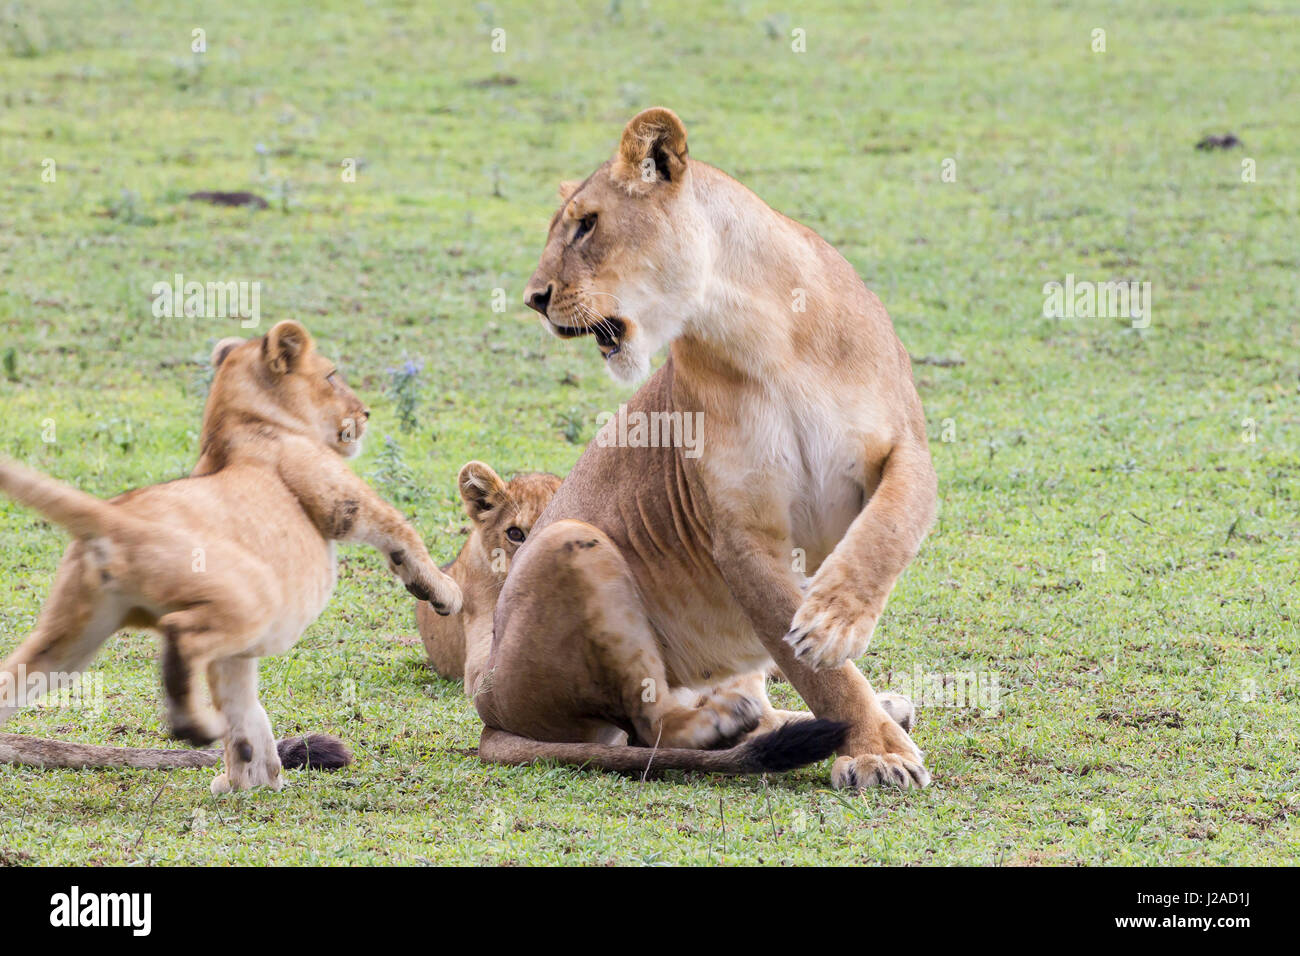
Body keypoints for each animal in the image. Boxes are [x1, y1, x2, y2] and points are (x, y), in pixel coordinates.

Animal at [0, 320, 463, 793]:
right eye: (332, 375)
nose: (366, 413)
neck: (238, 419)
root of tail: (117, 518)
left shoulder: (235, 655)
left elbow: (244, 706)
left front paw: (250, 778)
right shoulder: (337, 497)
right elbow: (400, 531)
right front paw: (444, 593)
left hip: (70, 638)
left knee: (16, 679)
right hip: (250, 596)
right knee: (182, 635)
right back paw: (193, 725)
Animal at [474, 107, 936, 787]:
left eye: (587, 224)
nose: (534, 298)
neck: (760, 330)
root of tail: (487, 712)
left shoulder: (906, 449)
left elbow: (887, 530)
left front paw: (833, 624)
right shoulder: (739, 531)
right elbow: (817, 672)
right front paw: (876, 751)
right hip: (568, 542)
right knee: (643, 726)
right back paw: (725, 722)